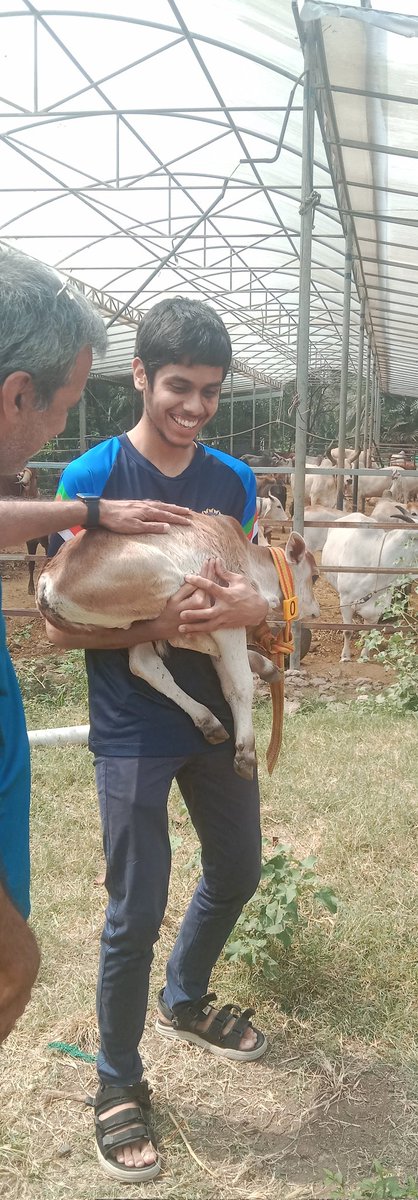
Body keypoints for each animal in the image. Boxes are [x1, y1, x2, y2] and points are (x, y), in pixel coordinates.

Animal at [37, 513, 320, 780]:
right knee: (176, 639)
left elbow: (229, 688)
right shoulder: (228, 619)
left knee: (144, 663)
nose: (317, 610)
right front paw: (246, 753)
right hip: (173, 580)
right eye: (315, 576)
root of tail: (47, 579)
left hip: (136, 623)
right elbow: (241, 686)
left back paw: (210, 721)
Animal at [321, 512, 418, 661]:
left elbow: (369, 632)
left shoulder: (377, 609)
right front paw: (345, 656)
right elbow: (347, 630)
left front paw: (365, 655)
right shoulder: (345, 601)